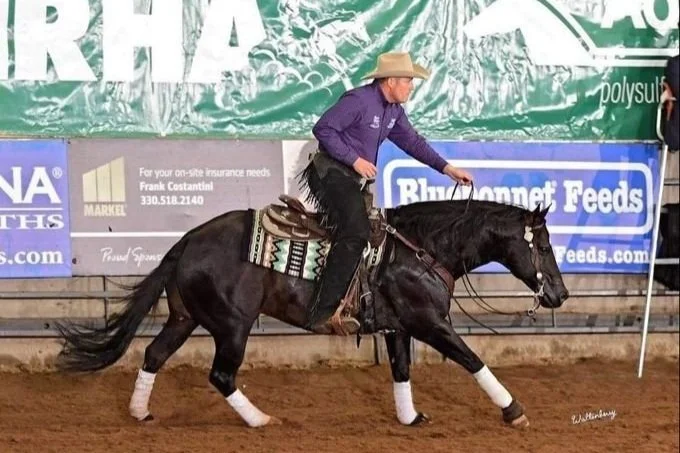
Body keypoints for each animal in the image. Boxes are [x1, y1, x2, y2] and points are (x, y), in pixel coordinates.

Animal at [56, 197, 569, 429]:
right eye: (543, 245)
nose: (561, 294)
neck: (420, 249)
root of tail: (186, 242)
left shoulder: (399, 328)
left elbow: (402, 371)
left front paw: (410, 419)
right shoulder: (430, 323)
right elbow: (473, 360)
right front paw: (514, 411)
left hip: (186, 317)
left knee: (153, 355)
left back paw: (140, 412)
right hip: (232, 325)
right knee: (221, 375)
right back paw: (260, 420)